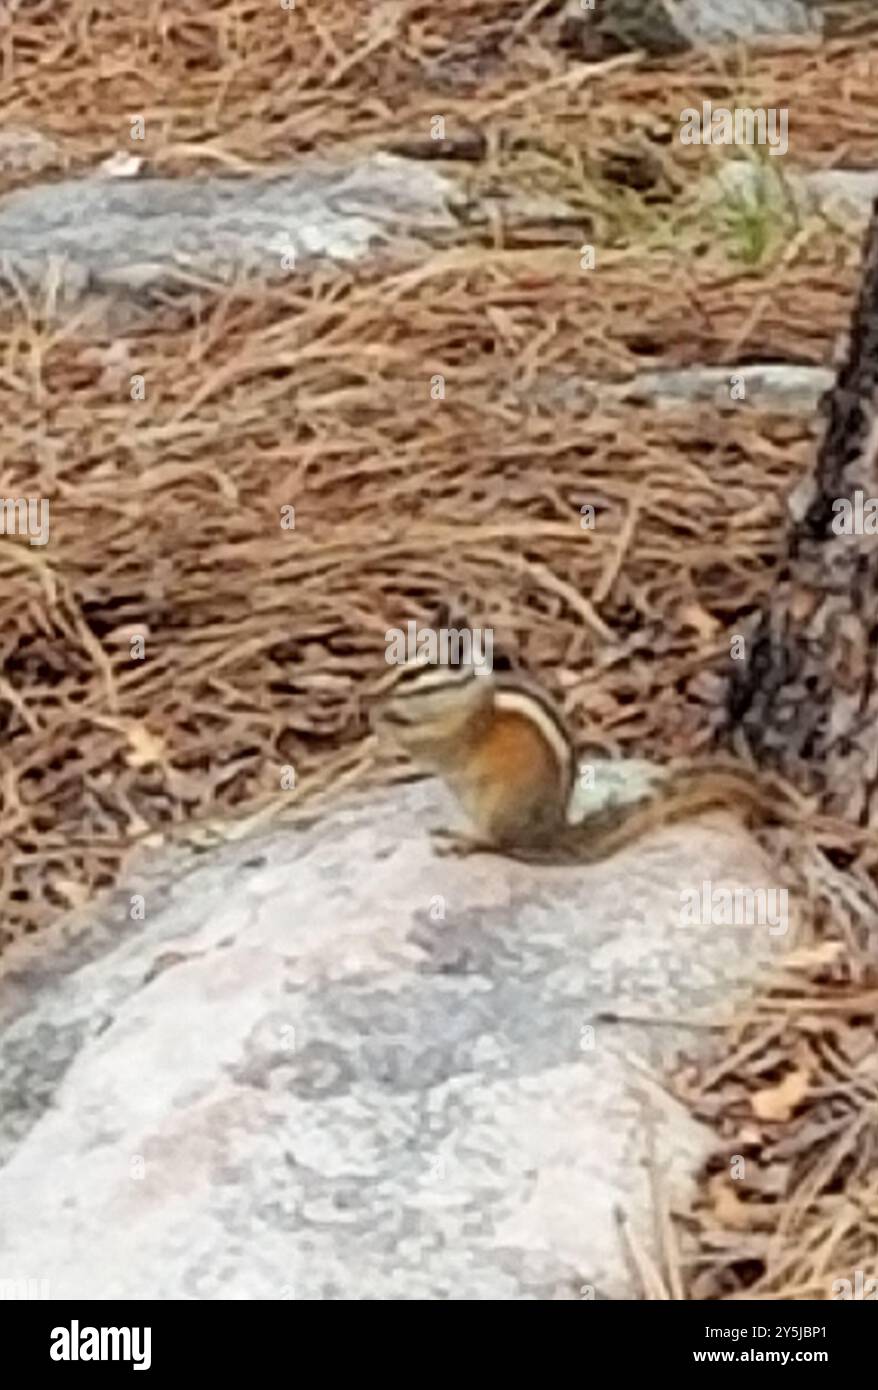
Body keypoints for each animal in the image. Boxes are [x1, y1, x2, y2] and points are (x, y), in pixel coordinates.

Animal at [371, 658, 781, 863]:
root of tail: (552, 833)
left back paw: (466, 840)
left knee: (502, 844)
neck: (467, 698)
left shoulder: (462, 733)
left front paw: (385, 724)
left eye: (413, 677)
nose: (372, 692)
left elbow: (434, 747)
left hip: (496, 806)